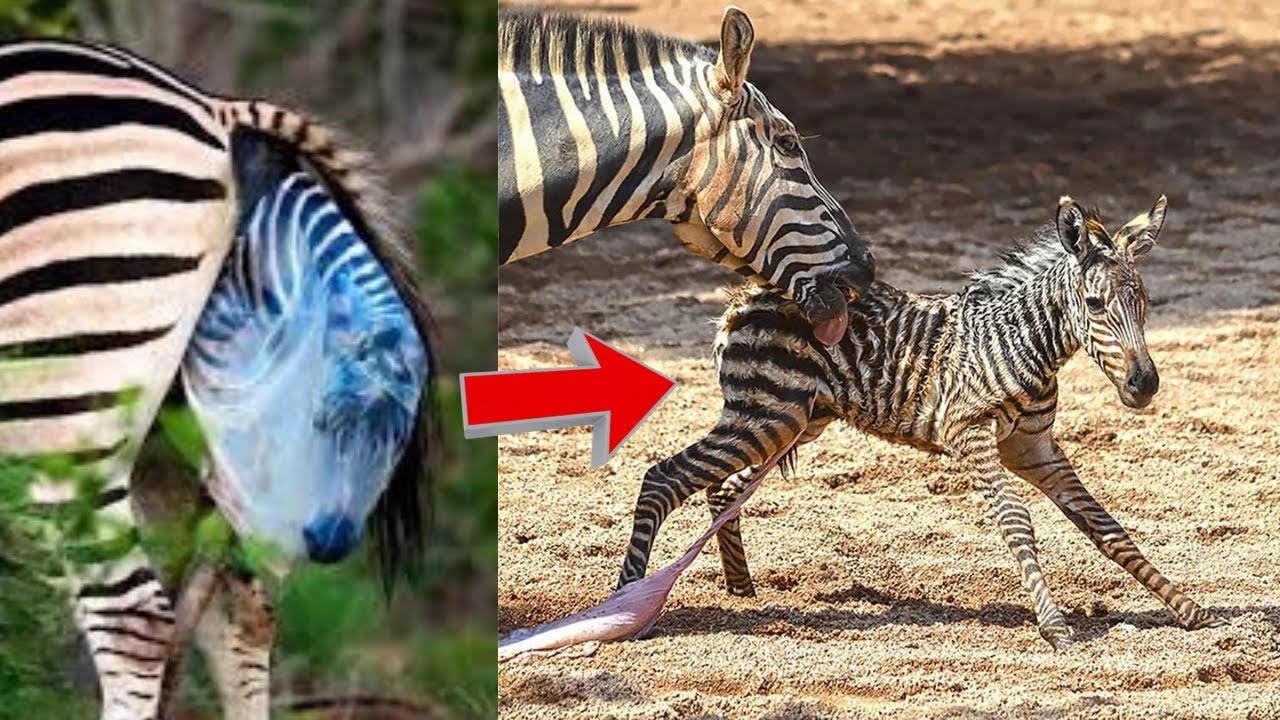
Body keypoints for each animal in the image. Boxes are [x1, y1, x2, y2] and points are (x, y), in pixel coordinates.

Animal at [618, 195, 1225, 649]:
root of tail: (746, 296)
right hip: (765, 415)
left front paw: (1188, 608)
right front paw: (1053, 626)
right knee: (663, 478)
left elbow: (1106, 528)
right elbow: (1018, 523)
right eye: (1096, 306)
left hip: (792, 420)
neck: (1027, 345)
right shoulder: (972, 437)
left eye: (1145, 302)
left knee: (722, 489)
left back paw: (741, 586)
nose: (1144, 386)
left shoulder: (1035, 448)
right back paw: (626, 607)